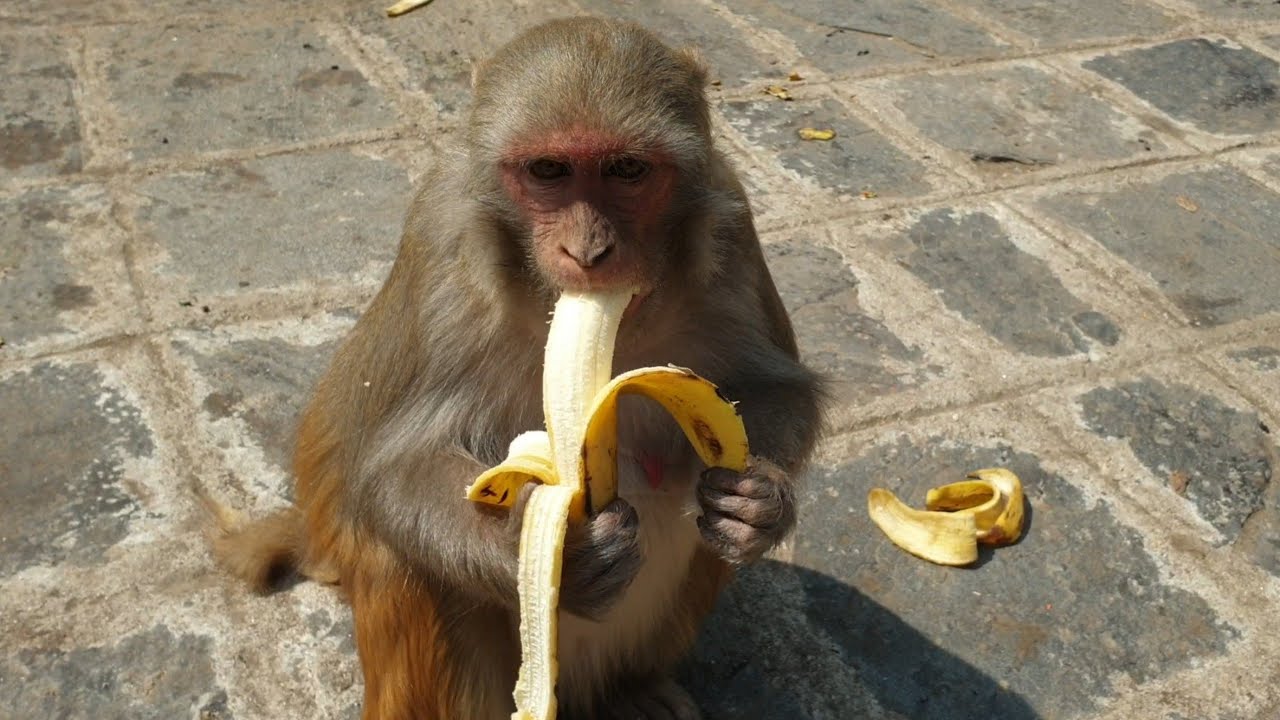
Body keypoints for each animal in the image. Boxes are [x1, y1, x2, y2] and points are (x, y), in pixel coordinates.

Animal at [211, 16, 825, 720]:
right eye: (548, 170)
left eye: (628, 169)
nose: (588, 250)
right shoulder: (443, 243)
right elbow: (394, 472)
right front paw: (558, 561)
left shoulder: (732, 221)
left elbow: (779, 389)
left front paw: (759, 504)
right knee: (398, 559)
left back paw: (631, 688)